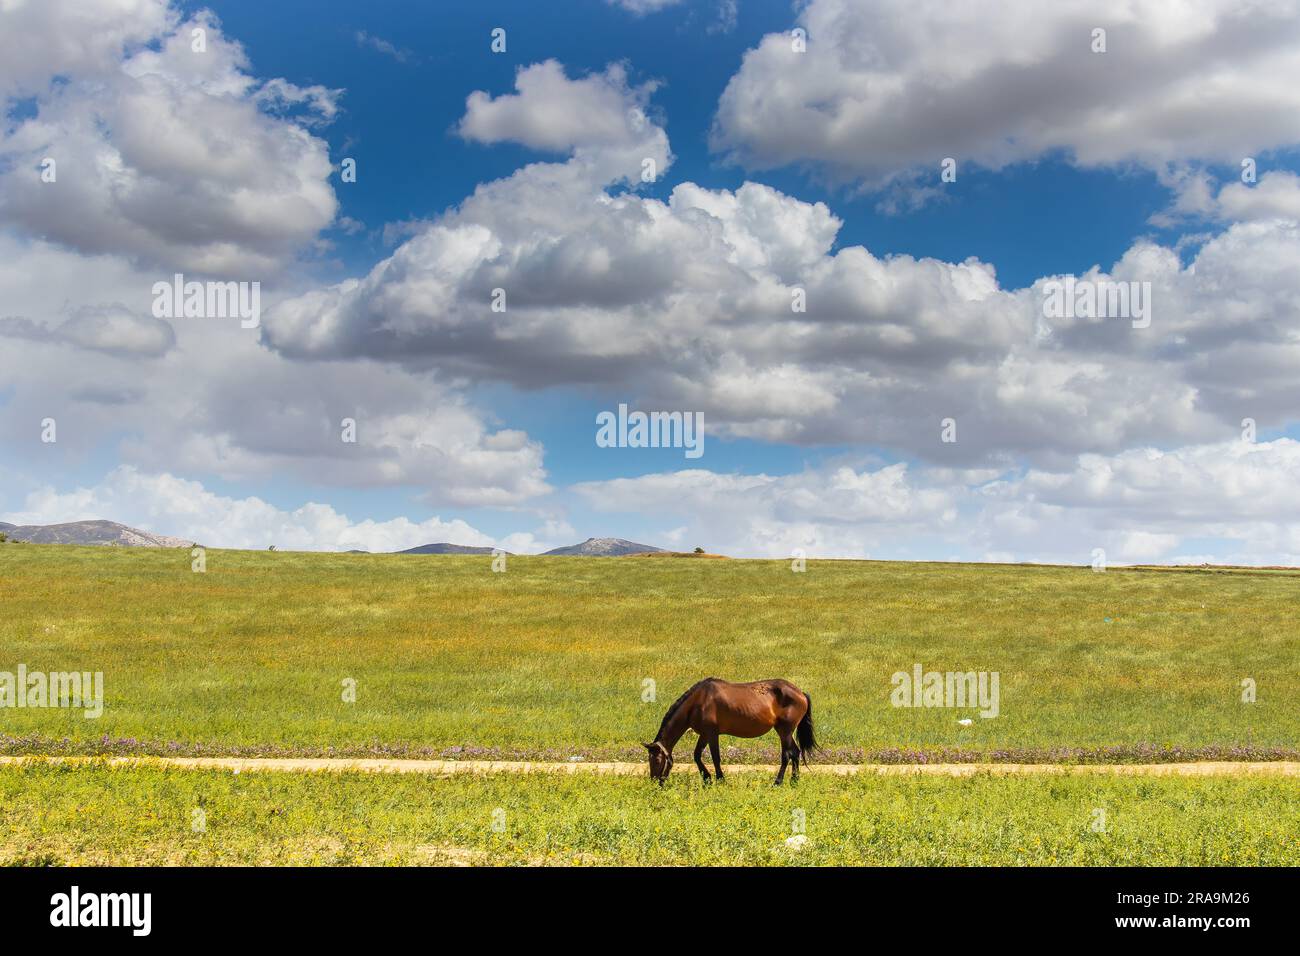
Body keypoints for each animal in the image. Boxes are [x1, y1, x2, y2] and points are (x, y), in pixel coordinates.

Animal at [643, 677, 817, 786]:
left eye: (656, 760)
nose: (655, 782)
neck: (698, 702)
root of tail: (800, 693)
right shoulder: (704, 734)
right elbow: (697, 755)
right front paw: (707, 779)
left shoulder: (712, 734)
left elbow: (715, 758)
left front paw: (720, 780)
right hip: (784, 731)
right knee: (795, 752)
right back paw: (794, 781)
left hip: (784, 731)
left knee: (787, 754)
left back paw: (778, 782)